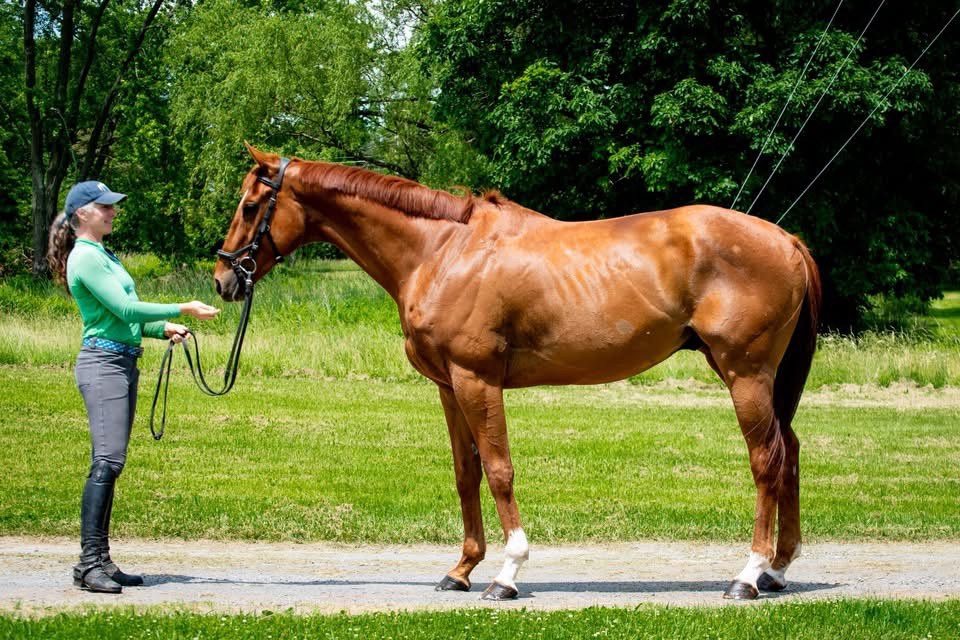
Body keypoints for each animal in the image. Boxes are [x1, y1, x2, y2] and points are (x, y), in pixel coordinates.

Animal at [214, 143, 822, 601]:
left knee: (766, 460)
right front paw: (461, 570)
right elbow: (467, 473)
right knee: (788, 452)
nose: (224, 280)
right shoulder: (448, 386)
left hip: (745, 374)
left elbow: (500, 469)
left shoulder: (476, 379)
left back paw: (747, 576)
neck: (442, 250)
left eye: (250, 205)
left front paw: (506, 573)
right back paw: (777, 569)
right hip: (756, 378)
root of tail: (786, 238)